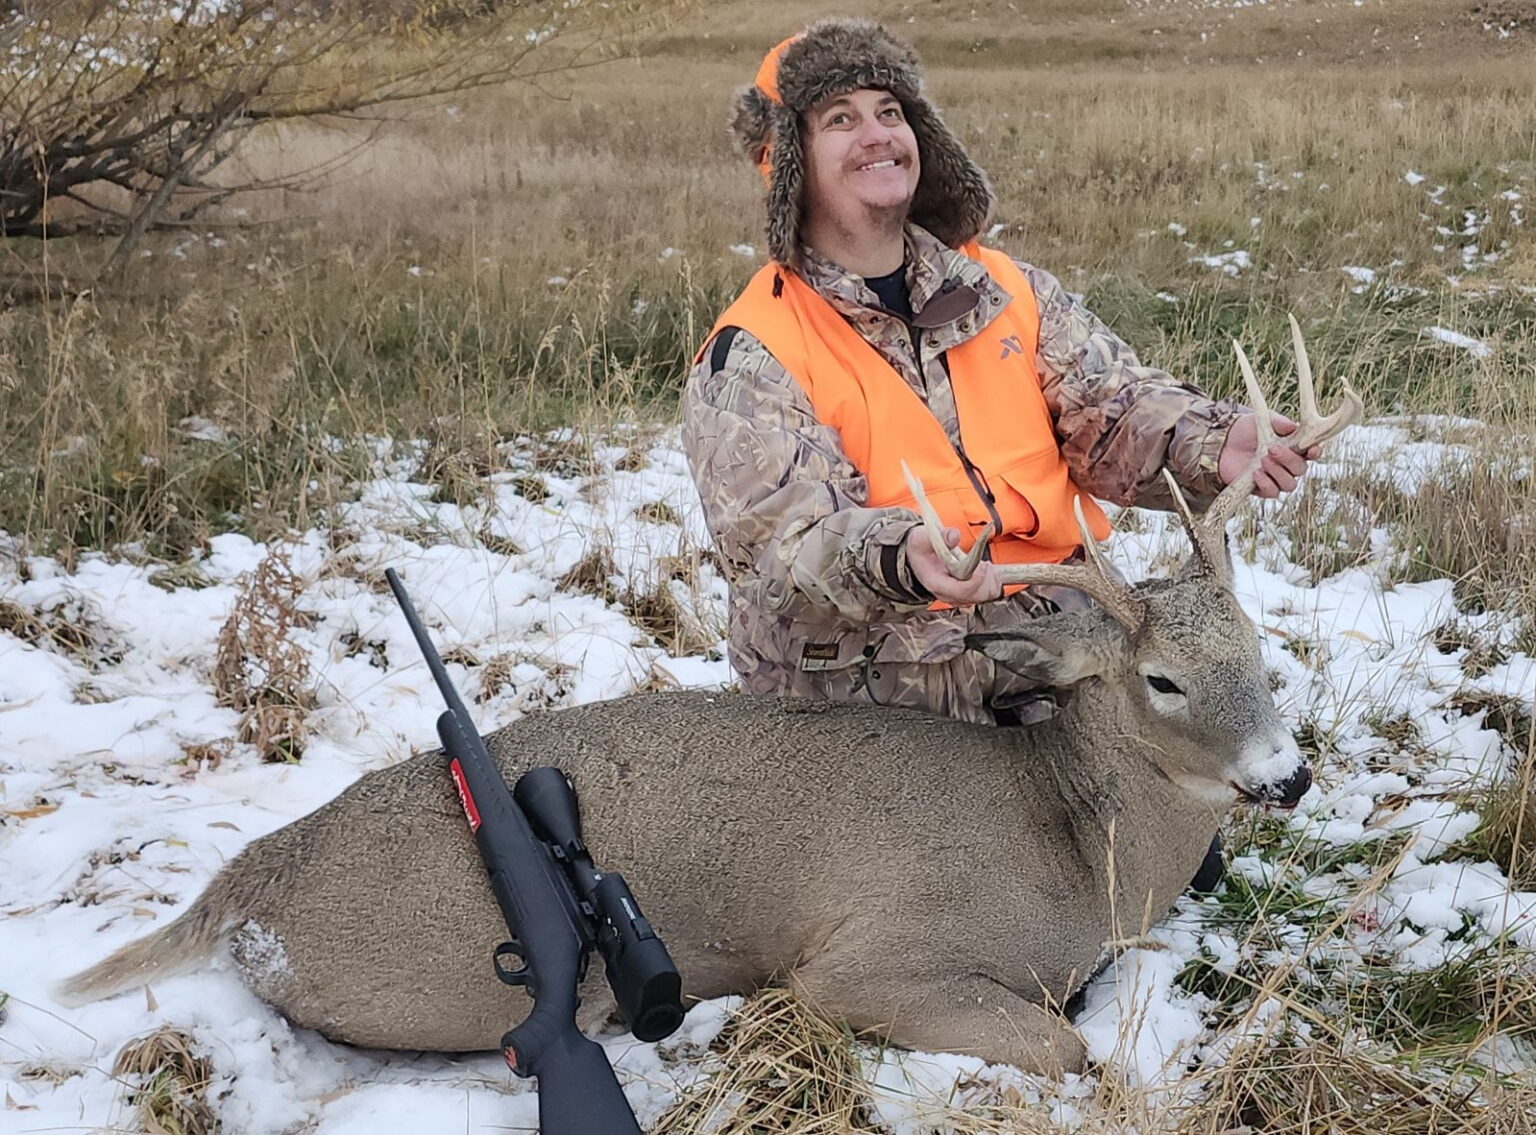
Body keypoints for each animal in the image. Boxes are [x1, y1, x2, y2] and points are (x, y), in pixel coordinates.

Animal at [58, 318, 1360, 1077]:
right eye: (1163, 677)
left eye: (1263, 645)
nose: (1288, 773)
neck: (1071, 846)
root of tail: (243, 884)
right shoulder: (870, 960)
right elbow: (1074, 1052)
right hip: (435, 974)